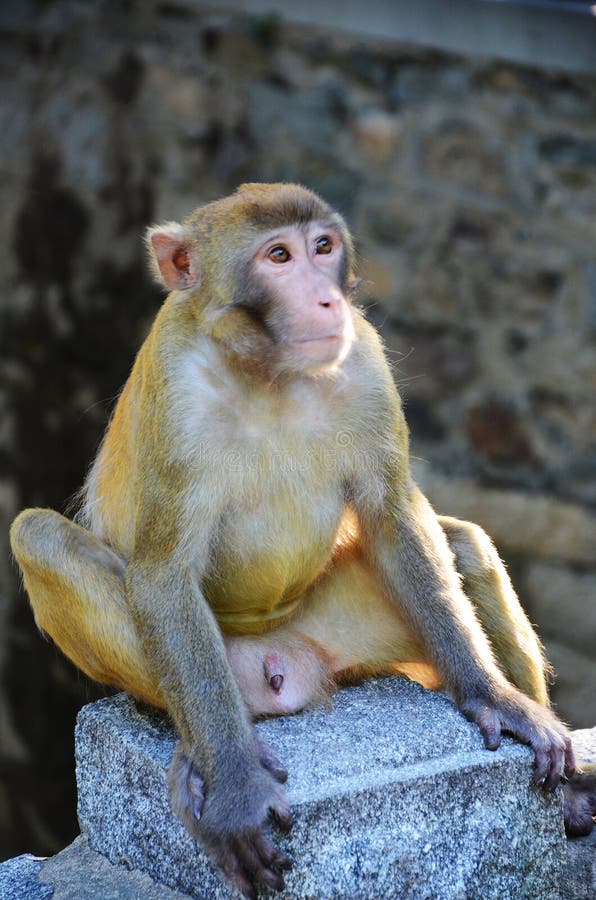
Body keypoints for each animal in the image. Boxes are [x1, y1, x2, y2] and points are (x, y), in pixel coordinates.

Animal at [10, 183, 595, 898]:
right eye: (279, 256)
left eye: (323, 247)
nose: (326, 299)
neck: (269, 372)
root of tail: (295, 668)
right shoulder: (176, 389)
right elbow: (162, 573)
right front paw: (235, 785)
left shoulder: (365, 361)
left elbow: (393, 515)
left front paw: (494, 699)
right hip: (219, 674)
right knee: (37, 535)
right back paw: (196, 755)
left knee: (463, 547)